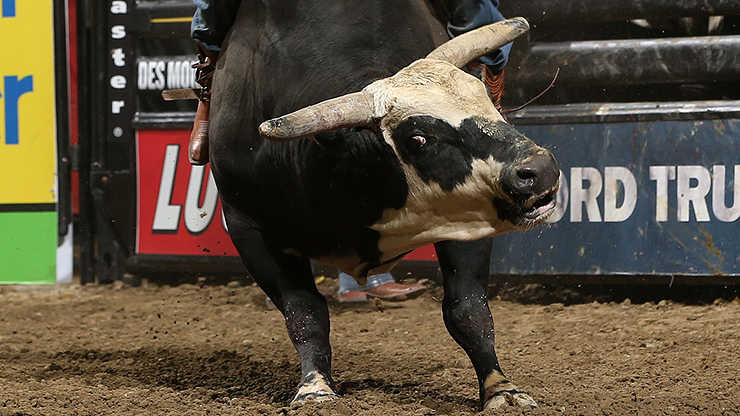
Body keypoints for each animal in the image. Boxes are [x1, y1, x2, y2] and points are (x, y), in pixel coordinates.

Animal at [208, 0, 558, 411]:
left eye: (486, 99)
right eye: (418, 137)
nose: (539, 169)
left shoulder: (469, 218)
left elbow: (468, 309)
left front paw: (501, 389)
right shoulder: (249, 228)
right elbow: (304, 312)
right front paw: (315, 389)